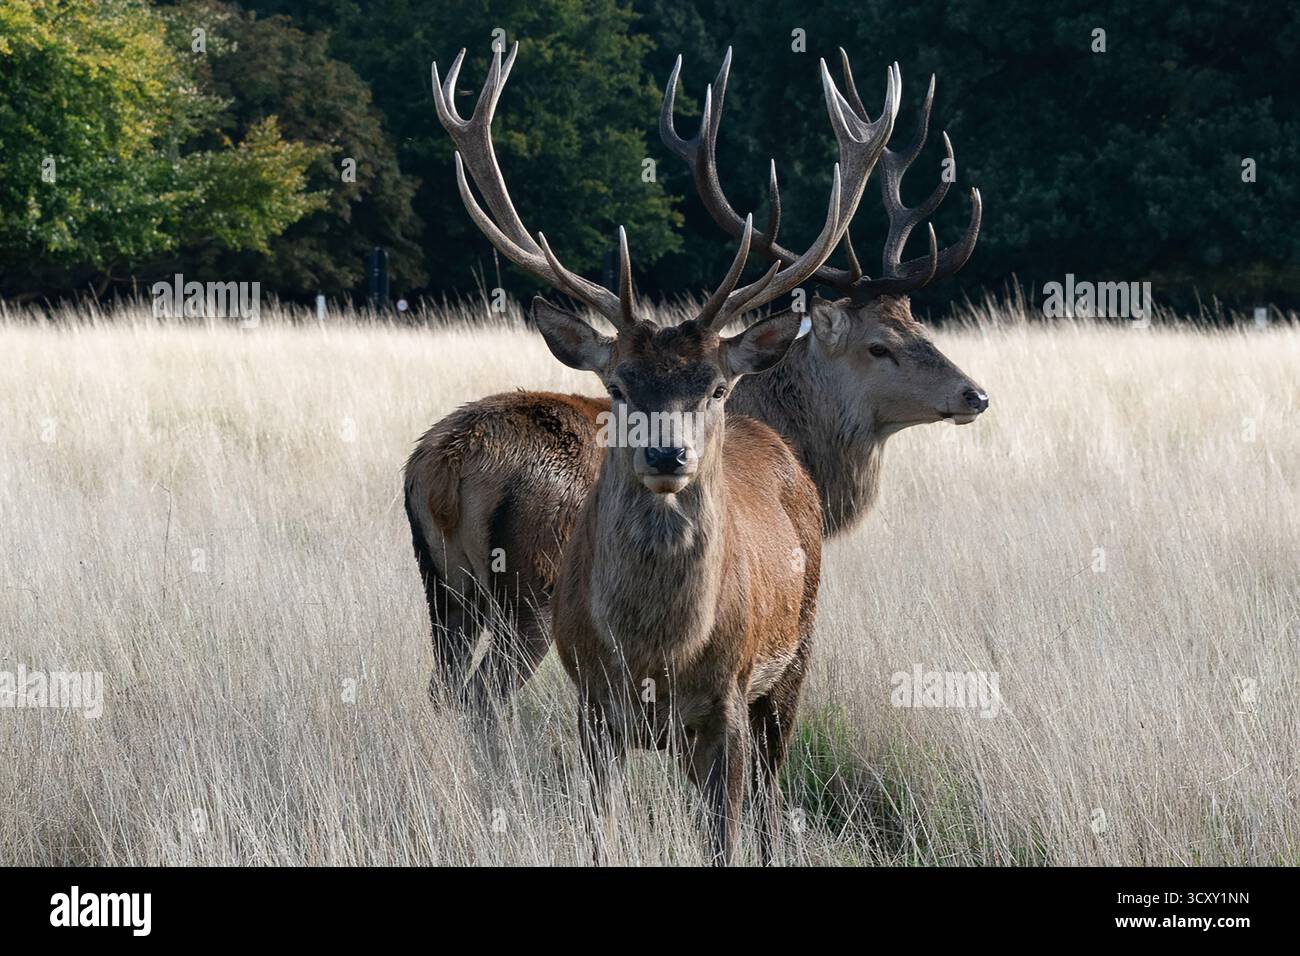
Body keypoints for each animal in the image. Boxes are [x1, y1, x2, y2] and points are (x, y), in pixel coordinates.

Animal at [405, 47, 986, 712]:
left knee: (443, 690)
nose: (975, 394)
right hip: (532, 592)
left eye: (917, 324)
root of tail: (443, 468)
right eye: (879, 347)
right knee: (484, 696)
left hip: (444, 590)